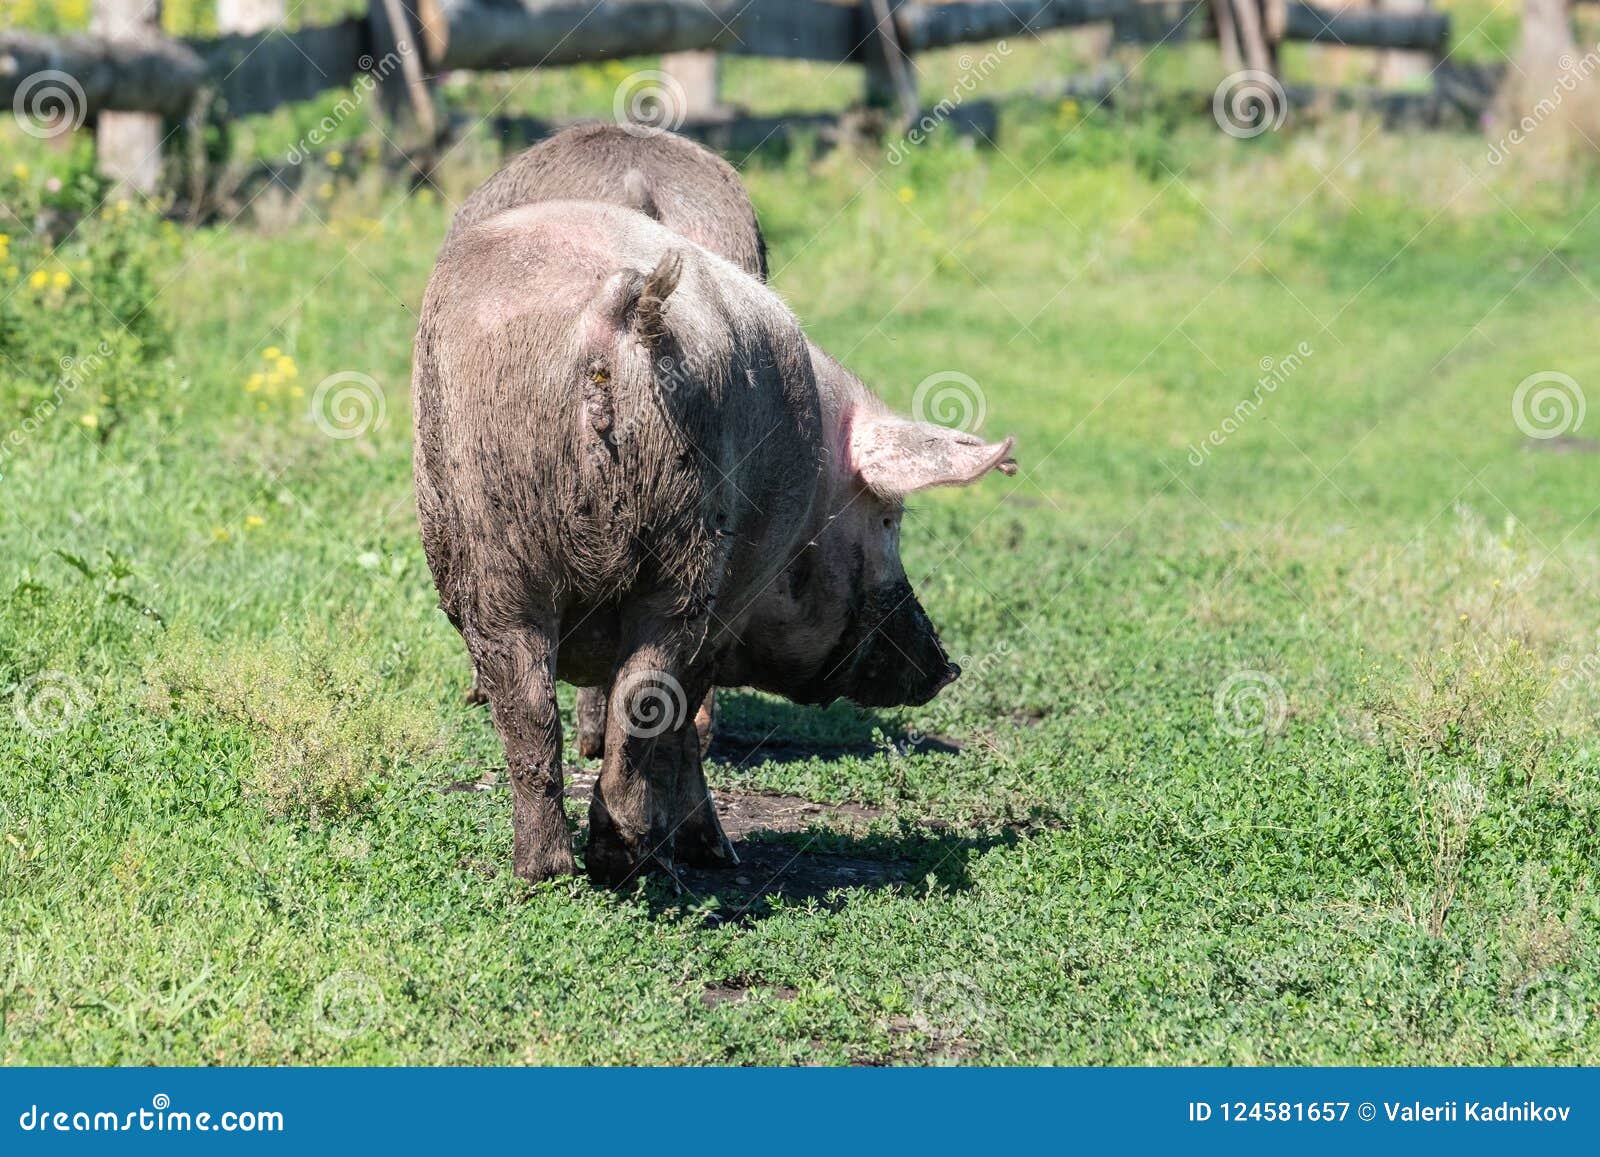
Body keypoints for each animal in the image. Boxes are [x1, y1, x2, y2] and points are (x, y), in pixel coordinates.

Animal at [416, 222, 1015, 892]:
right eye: (890, 520)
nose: (945, 667)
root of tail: (618, 311)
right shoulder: (738, 598)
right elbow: (684, 724)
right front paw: (716, 853)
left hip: (488, 536)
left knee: (527, 703)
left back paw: (546, 871)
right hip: (688, 555)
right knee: (647, 696)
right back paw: (641, 862)